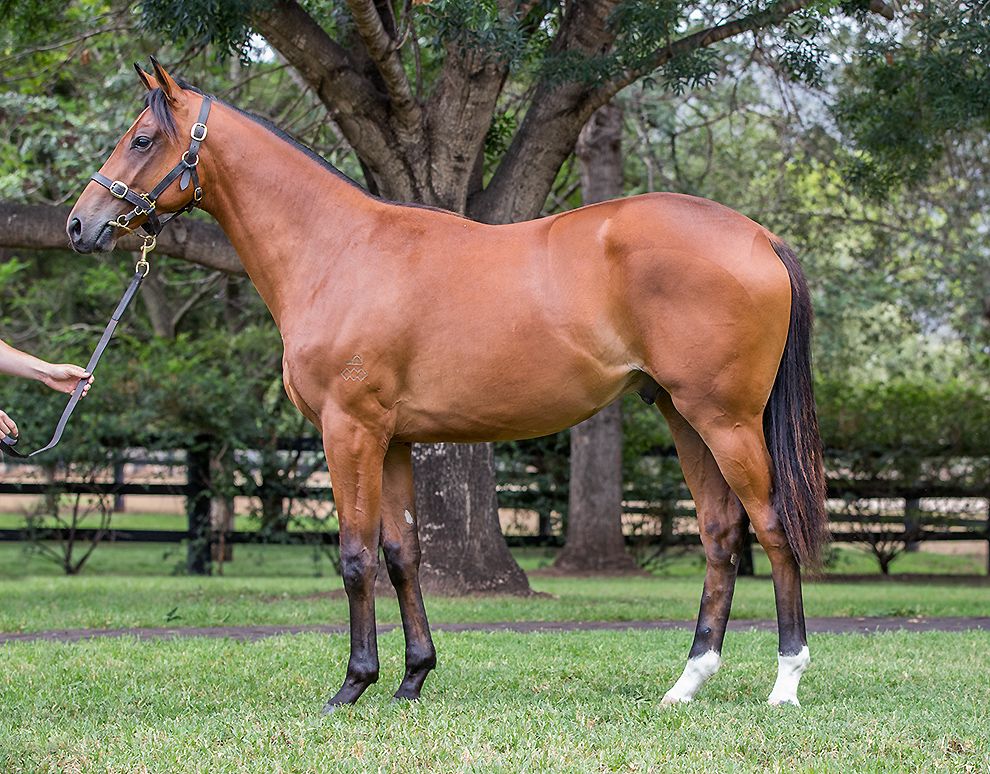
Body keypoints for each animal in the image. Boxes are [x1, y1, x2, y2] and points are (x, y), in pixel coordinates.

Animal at [67, 60, 827, 710]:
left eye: (141, 138)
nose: (80, 225)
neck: (337, 250)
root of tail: (757, 236)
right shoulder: (395, 441)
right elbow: (403, 555)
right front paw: (411, 680)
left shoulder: (349, 430)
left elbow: (355, 556)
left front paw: (353, 685)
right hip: (682, 414)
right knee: (721, 534)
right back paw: (688, 683)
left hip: (725, 420)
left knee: (772, 527)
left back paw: (787, 681)